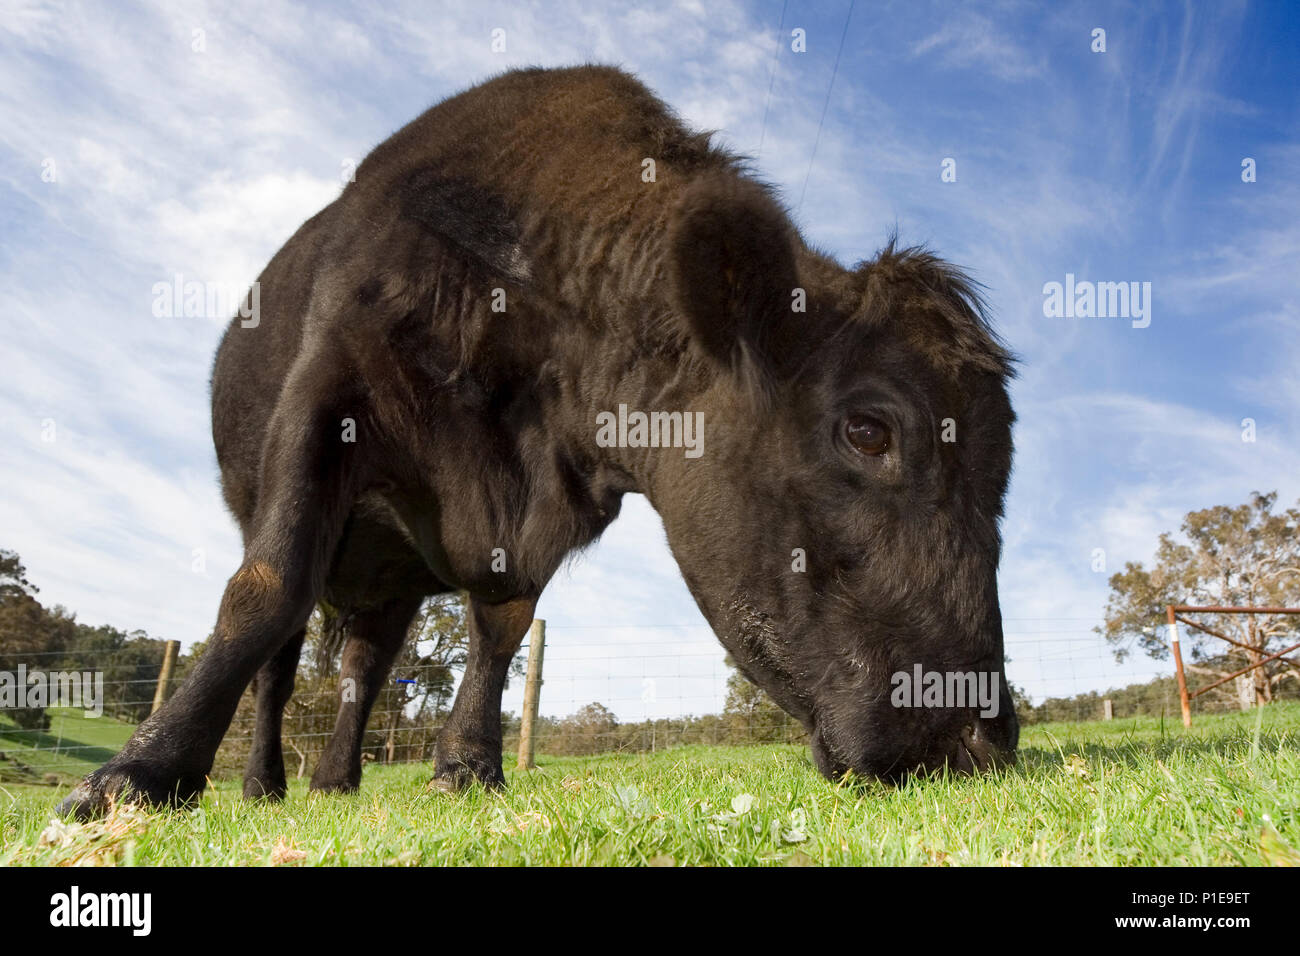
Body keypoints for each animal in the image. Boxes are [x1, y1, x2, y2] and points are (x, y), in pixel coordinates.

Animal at [58, 64, 1018, 819]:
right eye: (868, 429)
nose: (981, 736)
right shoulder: (326, 392)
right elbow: (263, 590)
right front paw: (140, 774)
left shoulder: (551, 499)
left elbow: (502, 626)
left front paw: (465, 767)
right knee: (284, 662)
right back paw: (263, 784)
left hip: (392, 579)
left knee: (366, 664)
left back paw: (336, 780)